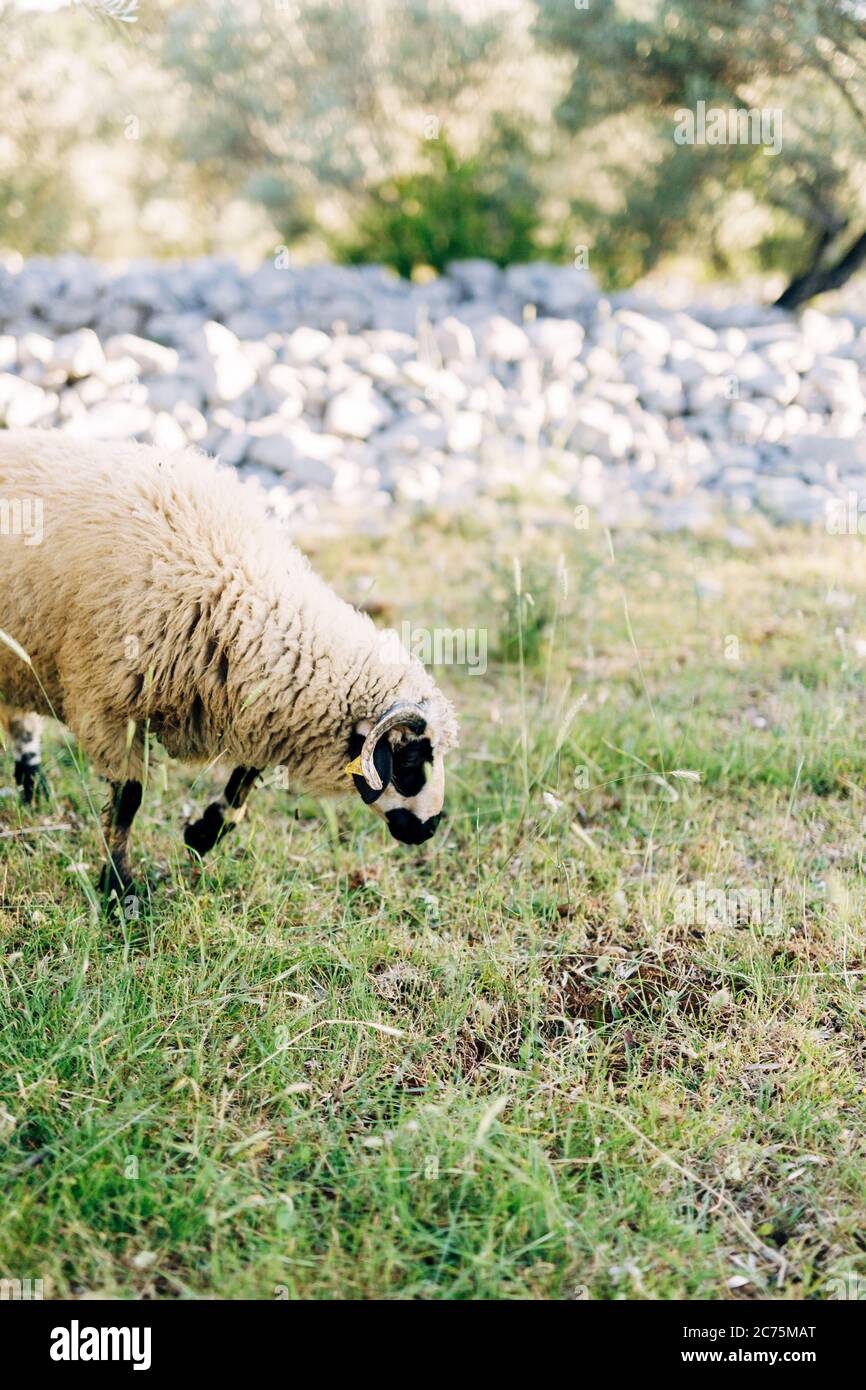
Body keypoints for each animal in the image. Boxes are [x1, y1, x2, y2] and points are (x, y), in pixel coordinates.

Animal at [0, 429, 458, 899]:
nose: (429, 828)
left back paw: (33, 787)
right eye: (409, 761)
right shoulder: (108, 709)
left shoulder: (259, 706)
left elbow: (244, 781)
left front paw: (203, 832)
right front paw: (120, 887)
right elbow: (128, 800)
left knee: (18, 720)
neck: (236, 597)